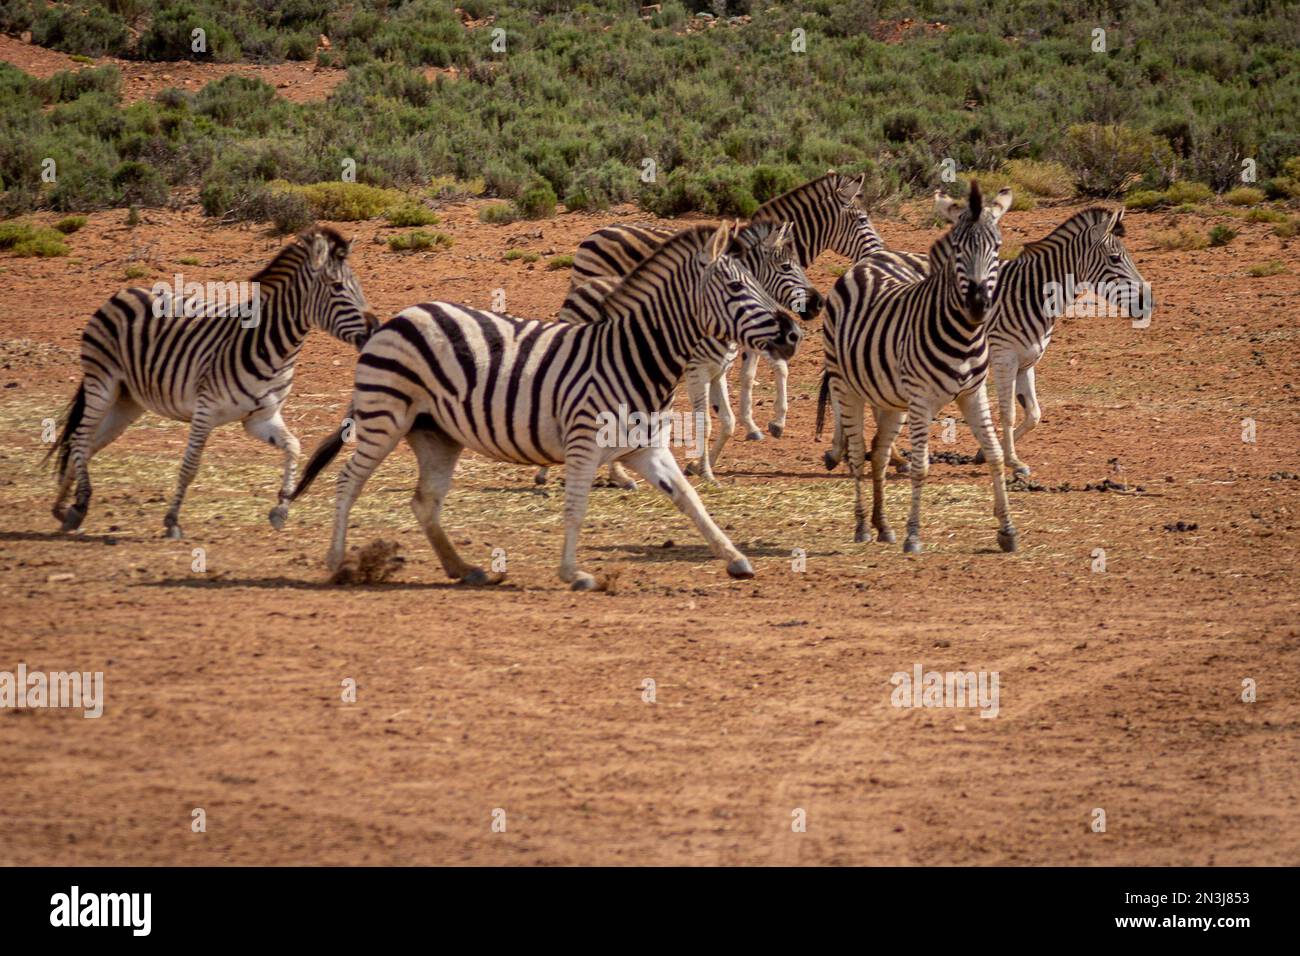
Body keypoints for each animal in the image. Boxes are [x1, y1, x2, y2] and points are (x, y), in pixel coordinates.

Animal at [48, 227, 376, 538]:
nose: (374, 328)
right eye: (337, 287)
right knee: (79, 438)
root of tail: (125, 290)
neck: (273, 349)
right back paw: (79, 505)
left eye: (359, 285)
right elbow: (190, 466)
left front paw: (281, 509)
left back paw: (64, 508)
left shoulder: (261, 418)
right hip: (102, 383)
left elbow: (293, 447)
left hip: (128, 401)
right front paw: (172, 521)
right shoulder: (205, 411)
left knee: (89, 442)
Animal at [544, 220, 820, 487]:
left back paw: (618, 476)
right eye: (786, 266)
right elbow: (705, 423)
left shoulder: (718, 372)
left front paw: (699, 466)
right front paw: (706, 472)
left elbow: (728, 422)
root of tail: (584, 285)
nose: (817, 304)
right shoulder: (697, 371)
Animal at [567, 170, 884, 442]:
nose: (817, 304)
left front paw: (757, 422)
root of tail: (594, 234)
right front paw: (767, 421)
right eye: (862, 220)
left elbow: (761, 370)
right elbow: (763, 369)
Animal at [818, 206, 1150, 477]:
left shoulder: (1026, 362)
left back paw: (862, 454)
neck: (1031, 293)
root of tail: (872, 257)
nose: (1148, 303)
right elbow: (1008, 411)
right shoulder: (1004, 356)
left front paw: (986, 453)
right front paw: (1012, 462)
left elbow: (1034, 414)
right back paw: (852, 452)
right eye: (1115, 258)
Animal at [822, 183, 1017, 554]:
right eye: (958, 249)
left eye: (996, 247)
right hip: (846, 384)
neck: (964, 336)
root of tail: (866, 262)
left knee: (879, 453)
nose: (977, 306)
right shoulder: (922, 400)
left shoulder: (973, 394)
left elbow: (995, 454)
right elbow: (920, 467)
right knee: (857, 452)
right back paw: (862, 527)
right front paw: (913, 535)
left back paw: (883, 525)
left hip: (892, 399)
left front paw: (1007, 530)